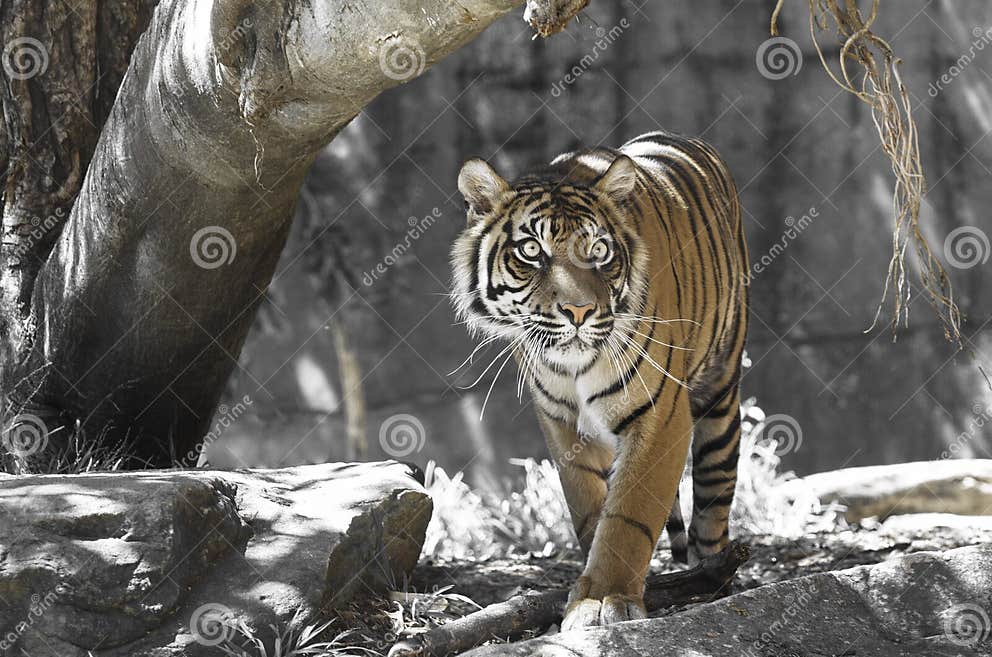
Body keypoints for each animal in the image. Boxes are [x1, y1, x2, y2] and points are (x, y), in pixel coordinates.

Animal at [450, 130, 748, 630]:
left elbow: (629, 514)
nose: (579, 311)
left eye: (600, 251)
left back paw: (714, 579)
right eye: (532, 251)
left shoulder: (660, 415)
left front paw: (606, 598)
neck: (573, 367)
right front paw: (588, 591)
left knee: (713, 501)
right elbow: (590, 507)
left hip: (720, 392)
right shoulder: (561, 423)